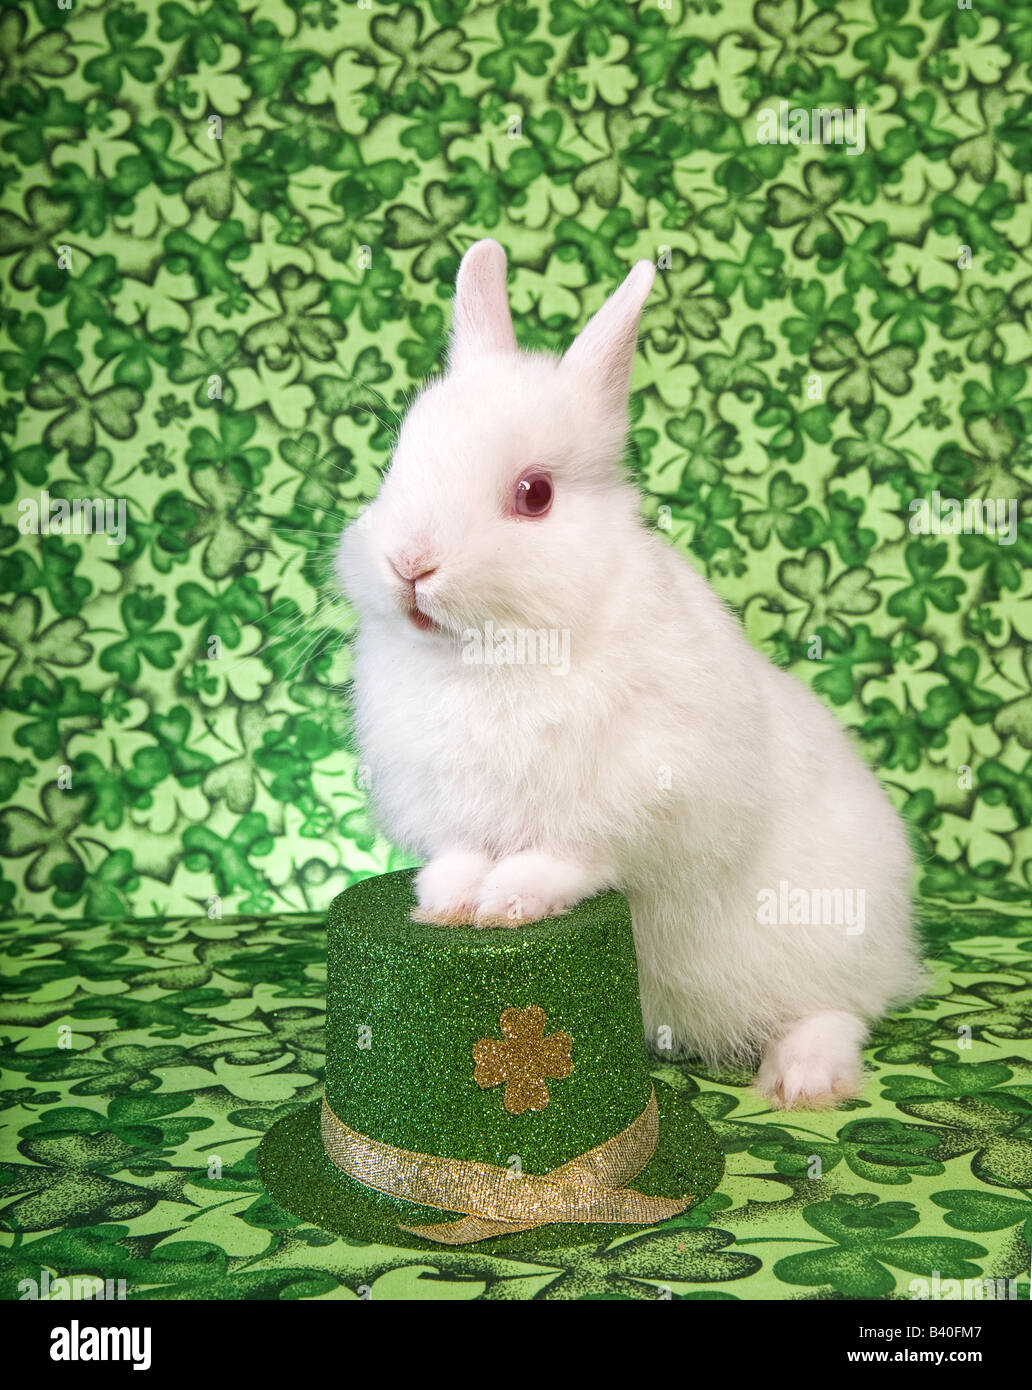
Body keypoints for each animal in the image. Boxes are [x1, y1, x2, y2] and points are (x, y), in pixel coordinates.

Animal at [335, 239, 925, 1110]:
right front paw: (448, 902)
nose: (410, 563)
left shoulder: (640, 794)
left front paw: (511, 901)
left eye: (534, 494)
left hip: (827, 937)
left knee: (841, 1009)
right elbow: (463, 849)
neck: (499, 648)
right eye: (397, 461)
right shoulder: (454, 802)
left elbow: (575, 852)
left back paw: (802, 1078)